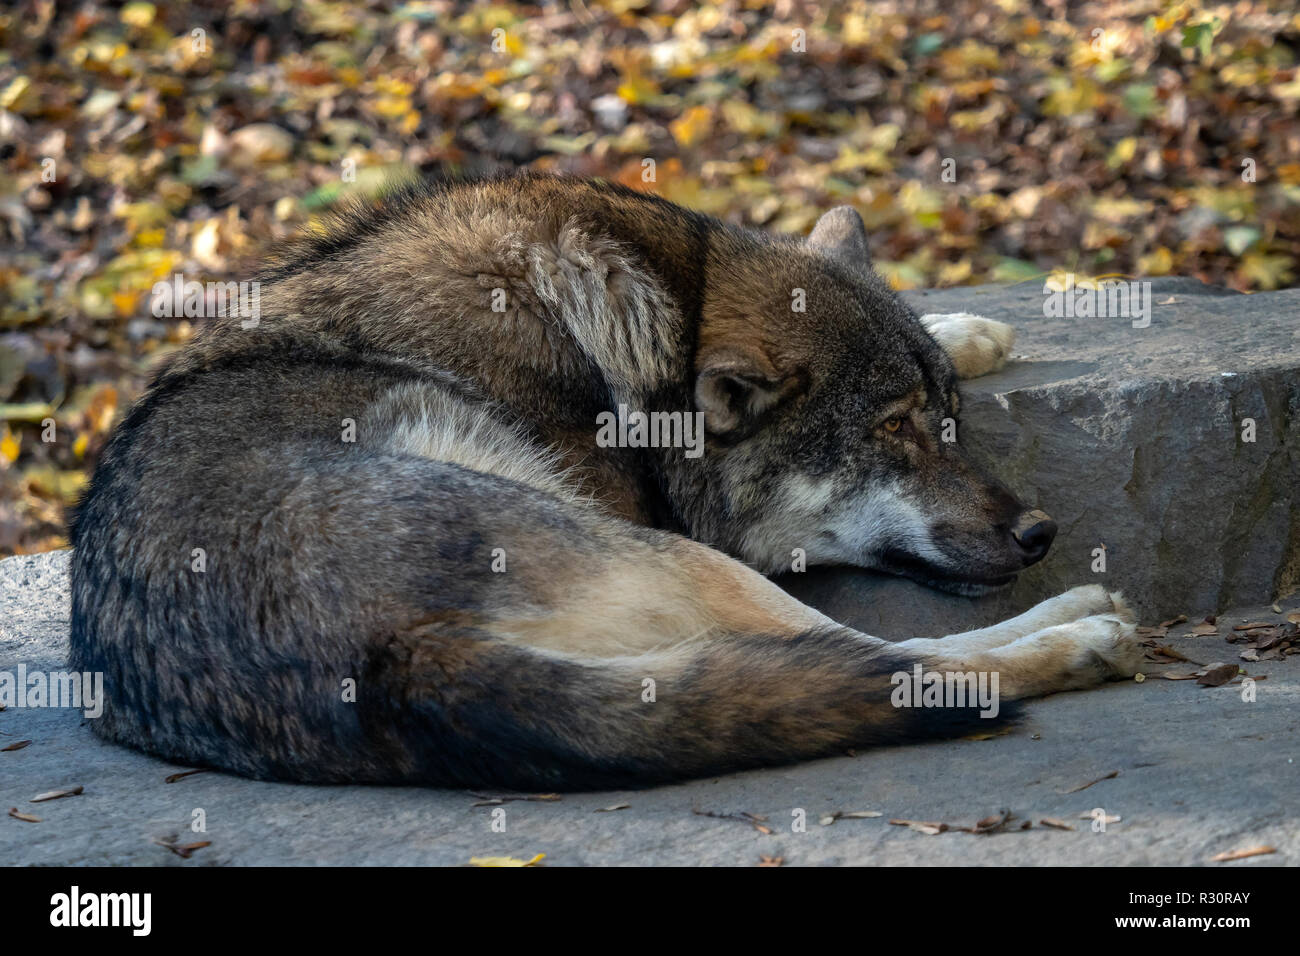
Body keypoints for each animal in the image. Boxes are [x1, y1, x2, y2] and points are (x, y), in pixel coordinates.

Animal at [68, 174, 1141, 791]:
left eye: (946, 416)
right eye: (894, 433)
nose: (1041, 532)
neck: (665, 325)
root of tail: (395, 665)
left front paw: (974, 328)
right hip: (658, 551)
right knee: (899, 655)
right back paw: (1081, 630)